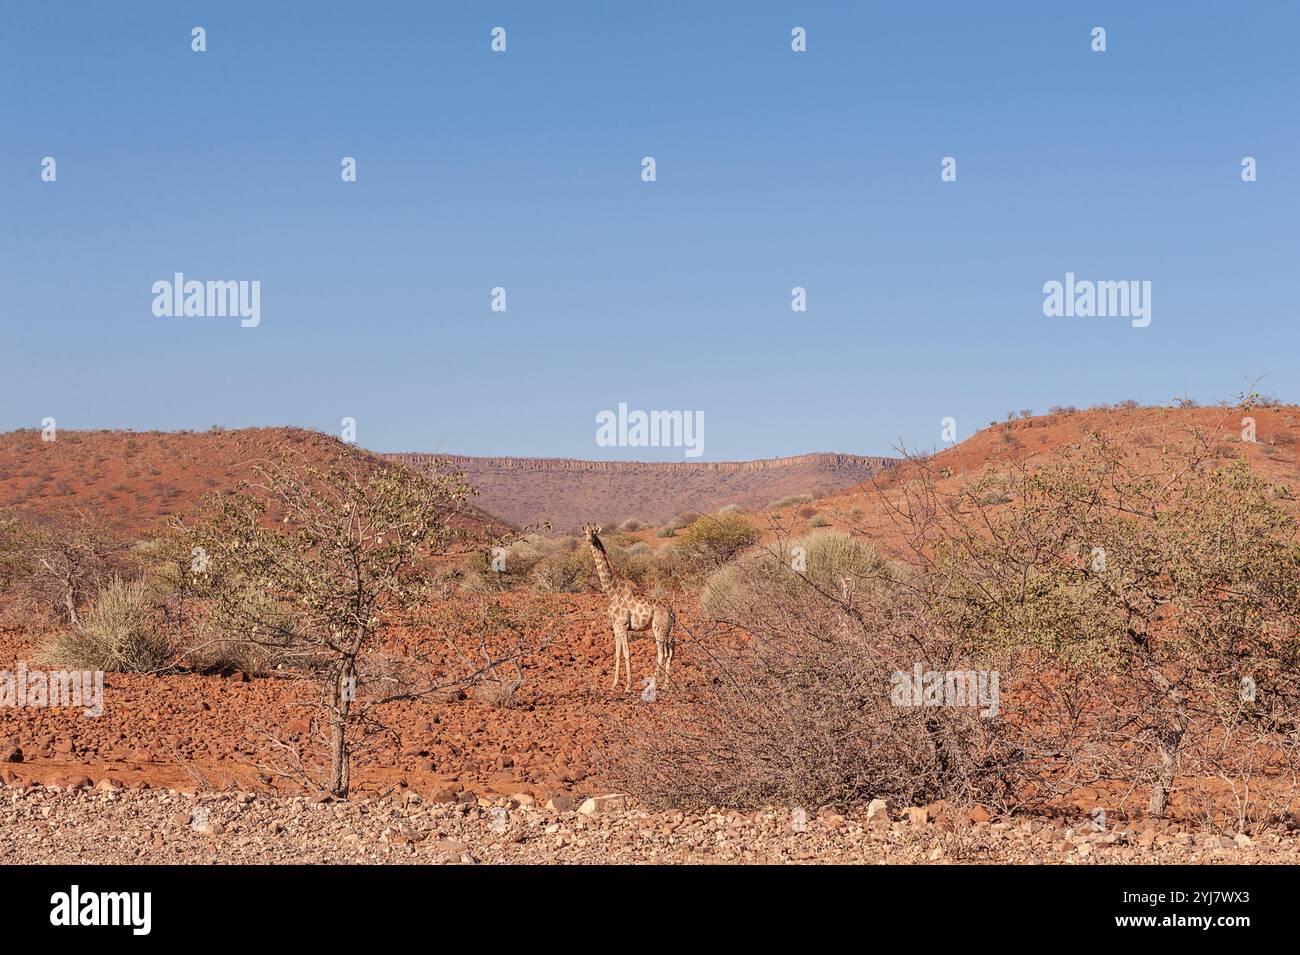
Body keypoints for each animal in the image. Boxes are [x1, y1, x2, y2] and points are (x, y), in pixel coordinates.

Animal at [583, 524, 675, 691]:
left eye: (594, 533)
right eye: (585, 532)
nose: (588, 540)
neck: (612, 591)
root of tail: (672, 612)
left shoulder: (623, 624)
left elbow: (627, 653)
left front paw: (628, 686)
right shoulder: (615, 625)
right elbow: (617, 653)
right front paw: (614, 685)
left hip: (658, 628)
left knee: (661, 653)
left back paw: (653, 684)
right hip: (668, 630)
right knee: (670, 651)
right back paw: (666, 685)